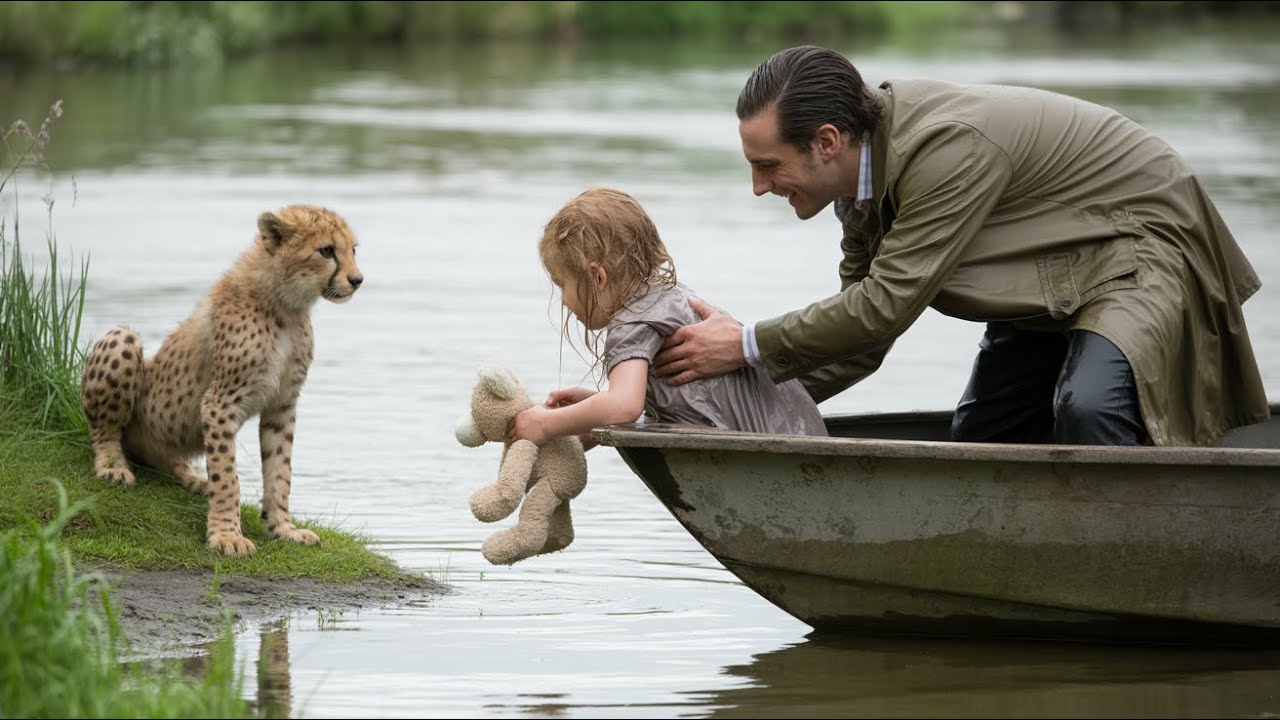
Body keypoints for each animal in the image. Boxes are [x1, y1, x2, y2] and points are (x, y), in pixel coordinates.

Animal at [80, 204, 364, 557]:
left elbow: (280, 470)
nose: (357, 280)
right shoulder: (220, 404)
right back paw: (114, 466)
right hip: (122, 340)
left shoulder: (282, 405)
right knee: (105, 430)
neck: (285, 304)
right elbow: (227, 475)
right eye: (326, 250)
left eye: (353, 250)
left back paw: (193, 478)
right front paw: (227, 534)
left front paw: (283, 529)